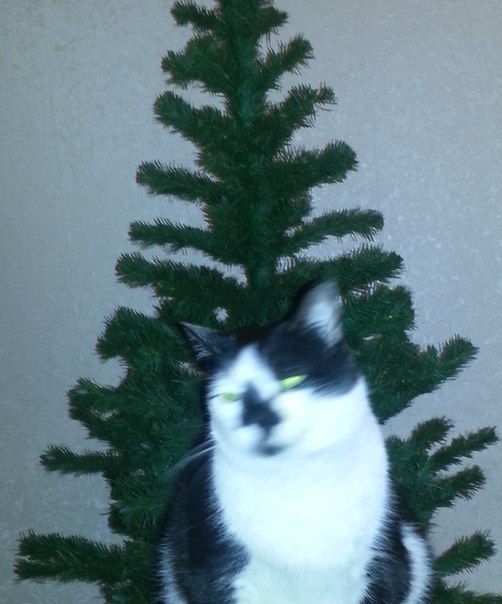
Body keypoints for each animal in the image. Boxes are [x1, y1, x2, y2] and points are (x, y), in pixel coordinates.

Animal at [155, 280, 432, 604]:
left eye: (292, 380)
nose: (262, 418)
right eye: (229, 396)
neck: (296, 479)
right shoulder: (212, 571)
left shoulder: (387, 564)